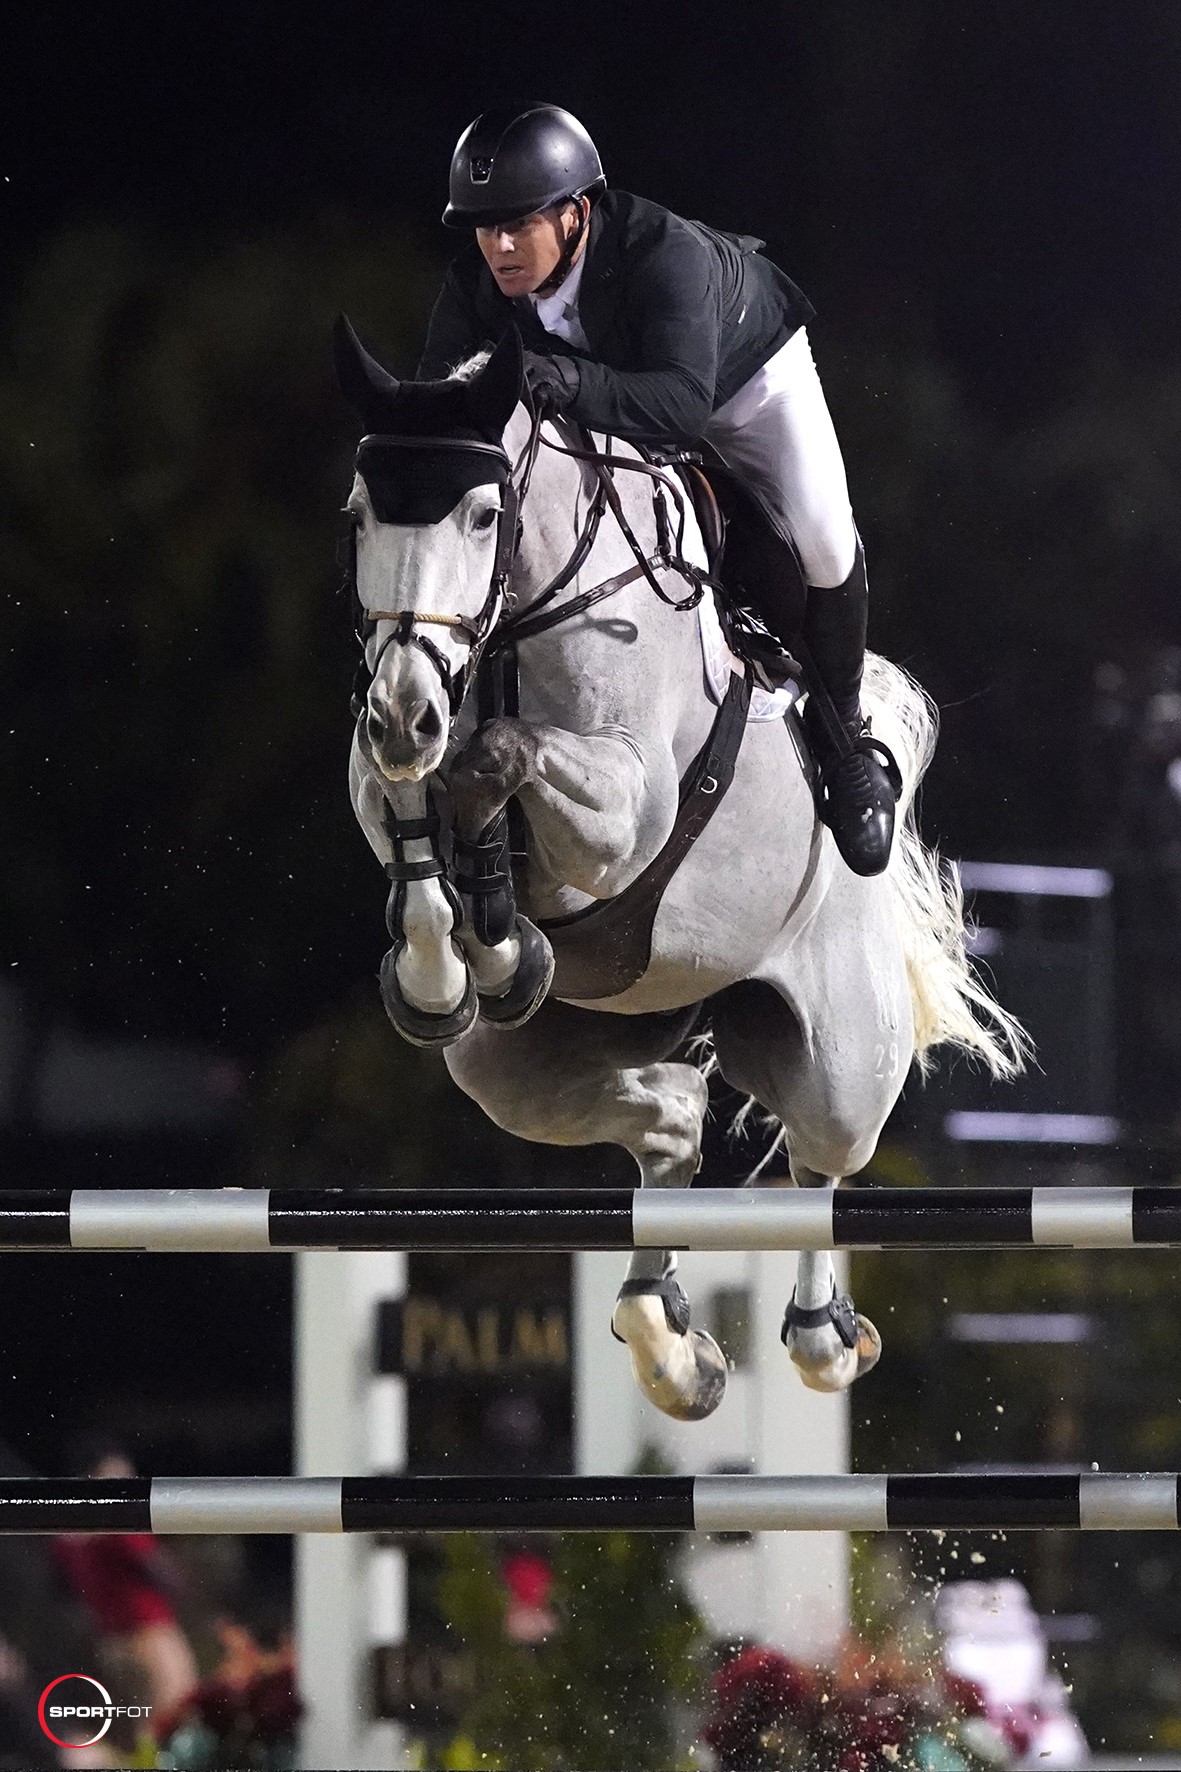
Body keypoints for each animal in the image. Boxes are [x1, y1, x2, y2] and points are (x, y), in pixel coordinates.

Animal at [336, 319, 1025, 1421]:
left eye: (484, 514)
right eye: (359, 515)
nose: (405, 707)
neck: (524, 614)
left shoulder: (626, 805)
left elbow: (500, 756)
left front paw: (498, 941)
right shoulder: (381, 763)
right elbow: (414, 830)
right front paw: (448, 975)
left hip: (840, 1061)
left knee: (816, 1161)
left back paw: (822, 1336)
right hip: (520, 1070)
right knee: (669, 1123)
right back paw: (667, 1341)